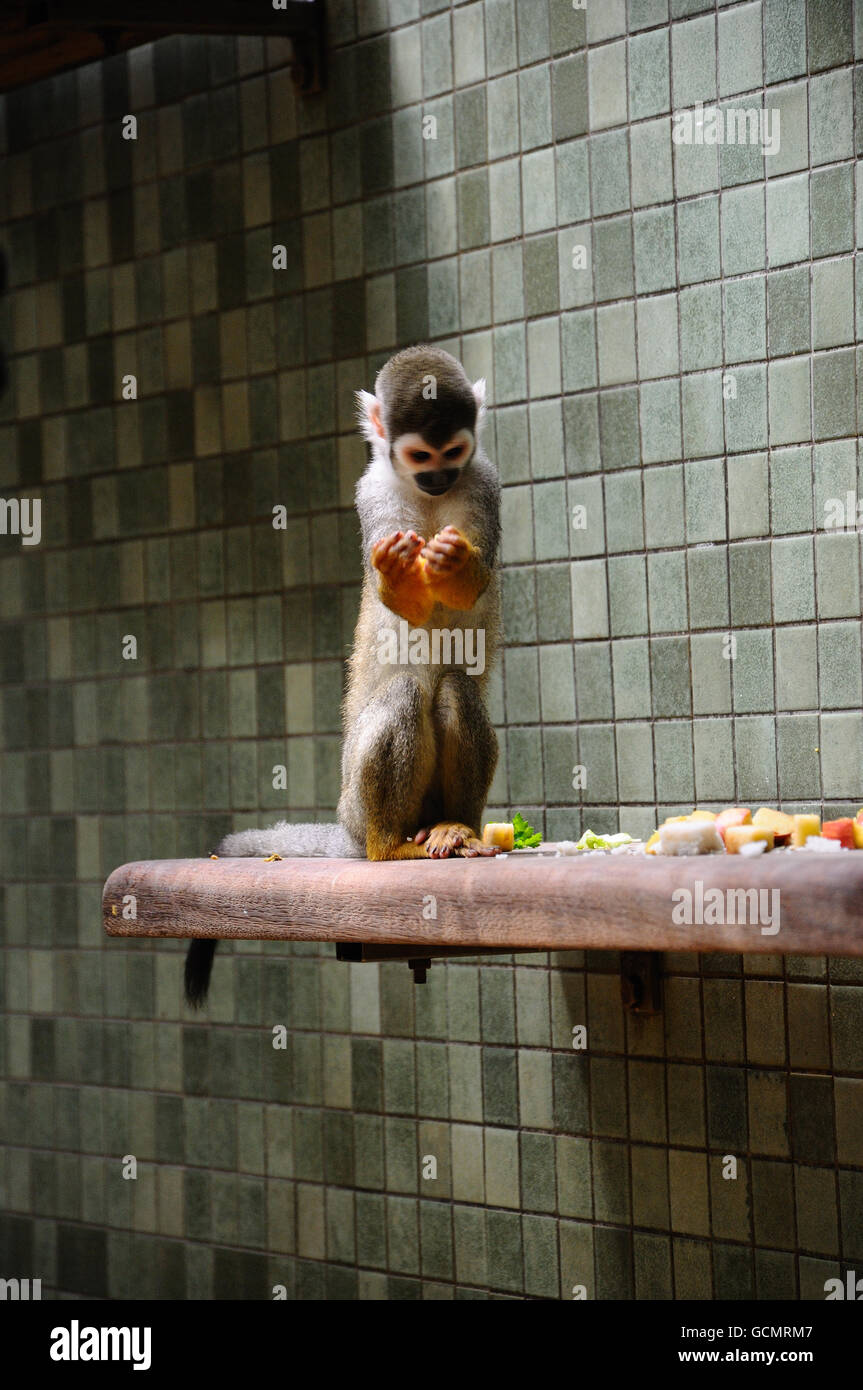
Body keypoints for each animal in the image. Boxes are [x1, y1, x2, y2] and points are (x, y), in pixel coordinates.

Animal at [184, 346, 502, 1008]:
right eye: (420, 457)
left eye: (454, 453)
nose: (439, 480)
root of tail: (351, 830)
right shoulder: (371, 490)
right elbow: (399, 596)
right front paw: (399, 574)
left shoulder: (484, 481)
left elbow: (471, 581)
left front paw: (455, 563)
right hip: (353, 797)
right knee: (404, 693)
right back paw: (388, 847)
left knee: (455, 688)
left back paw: (453, 828)